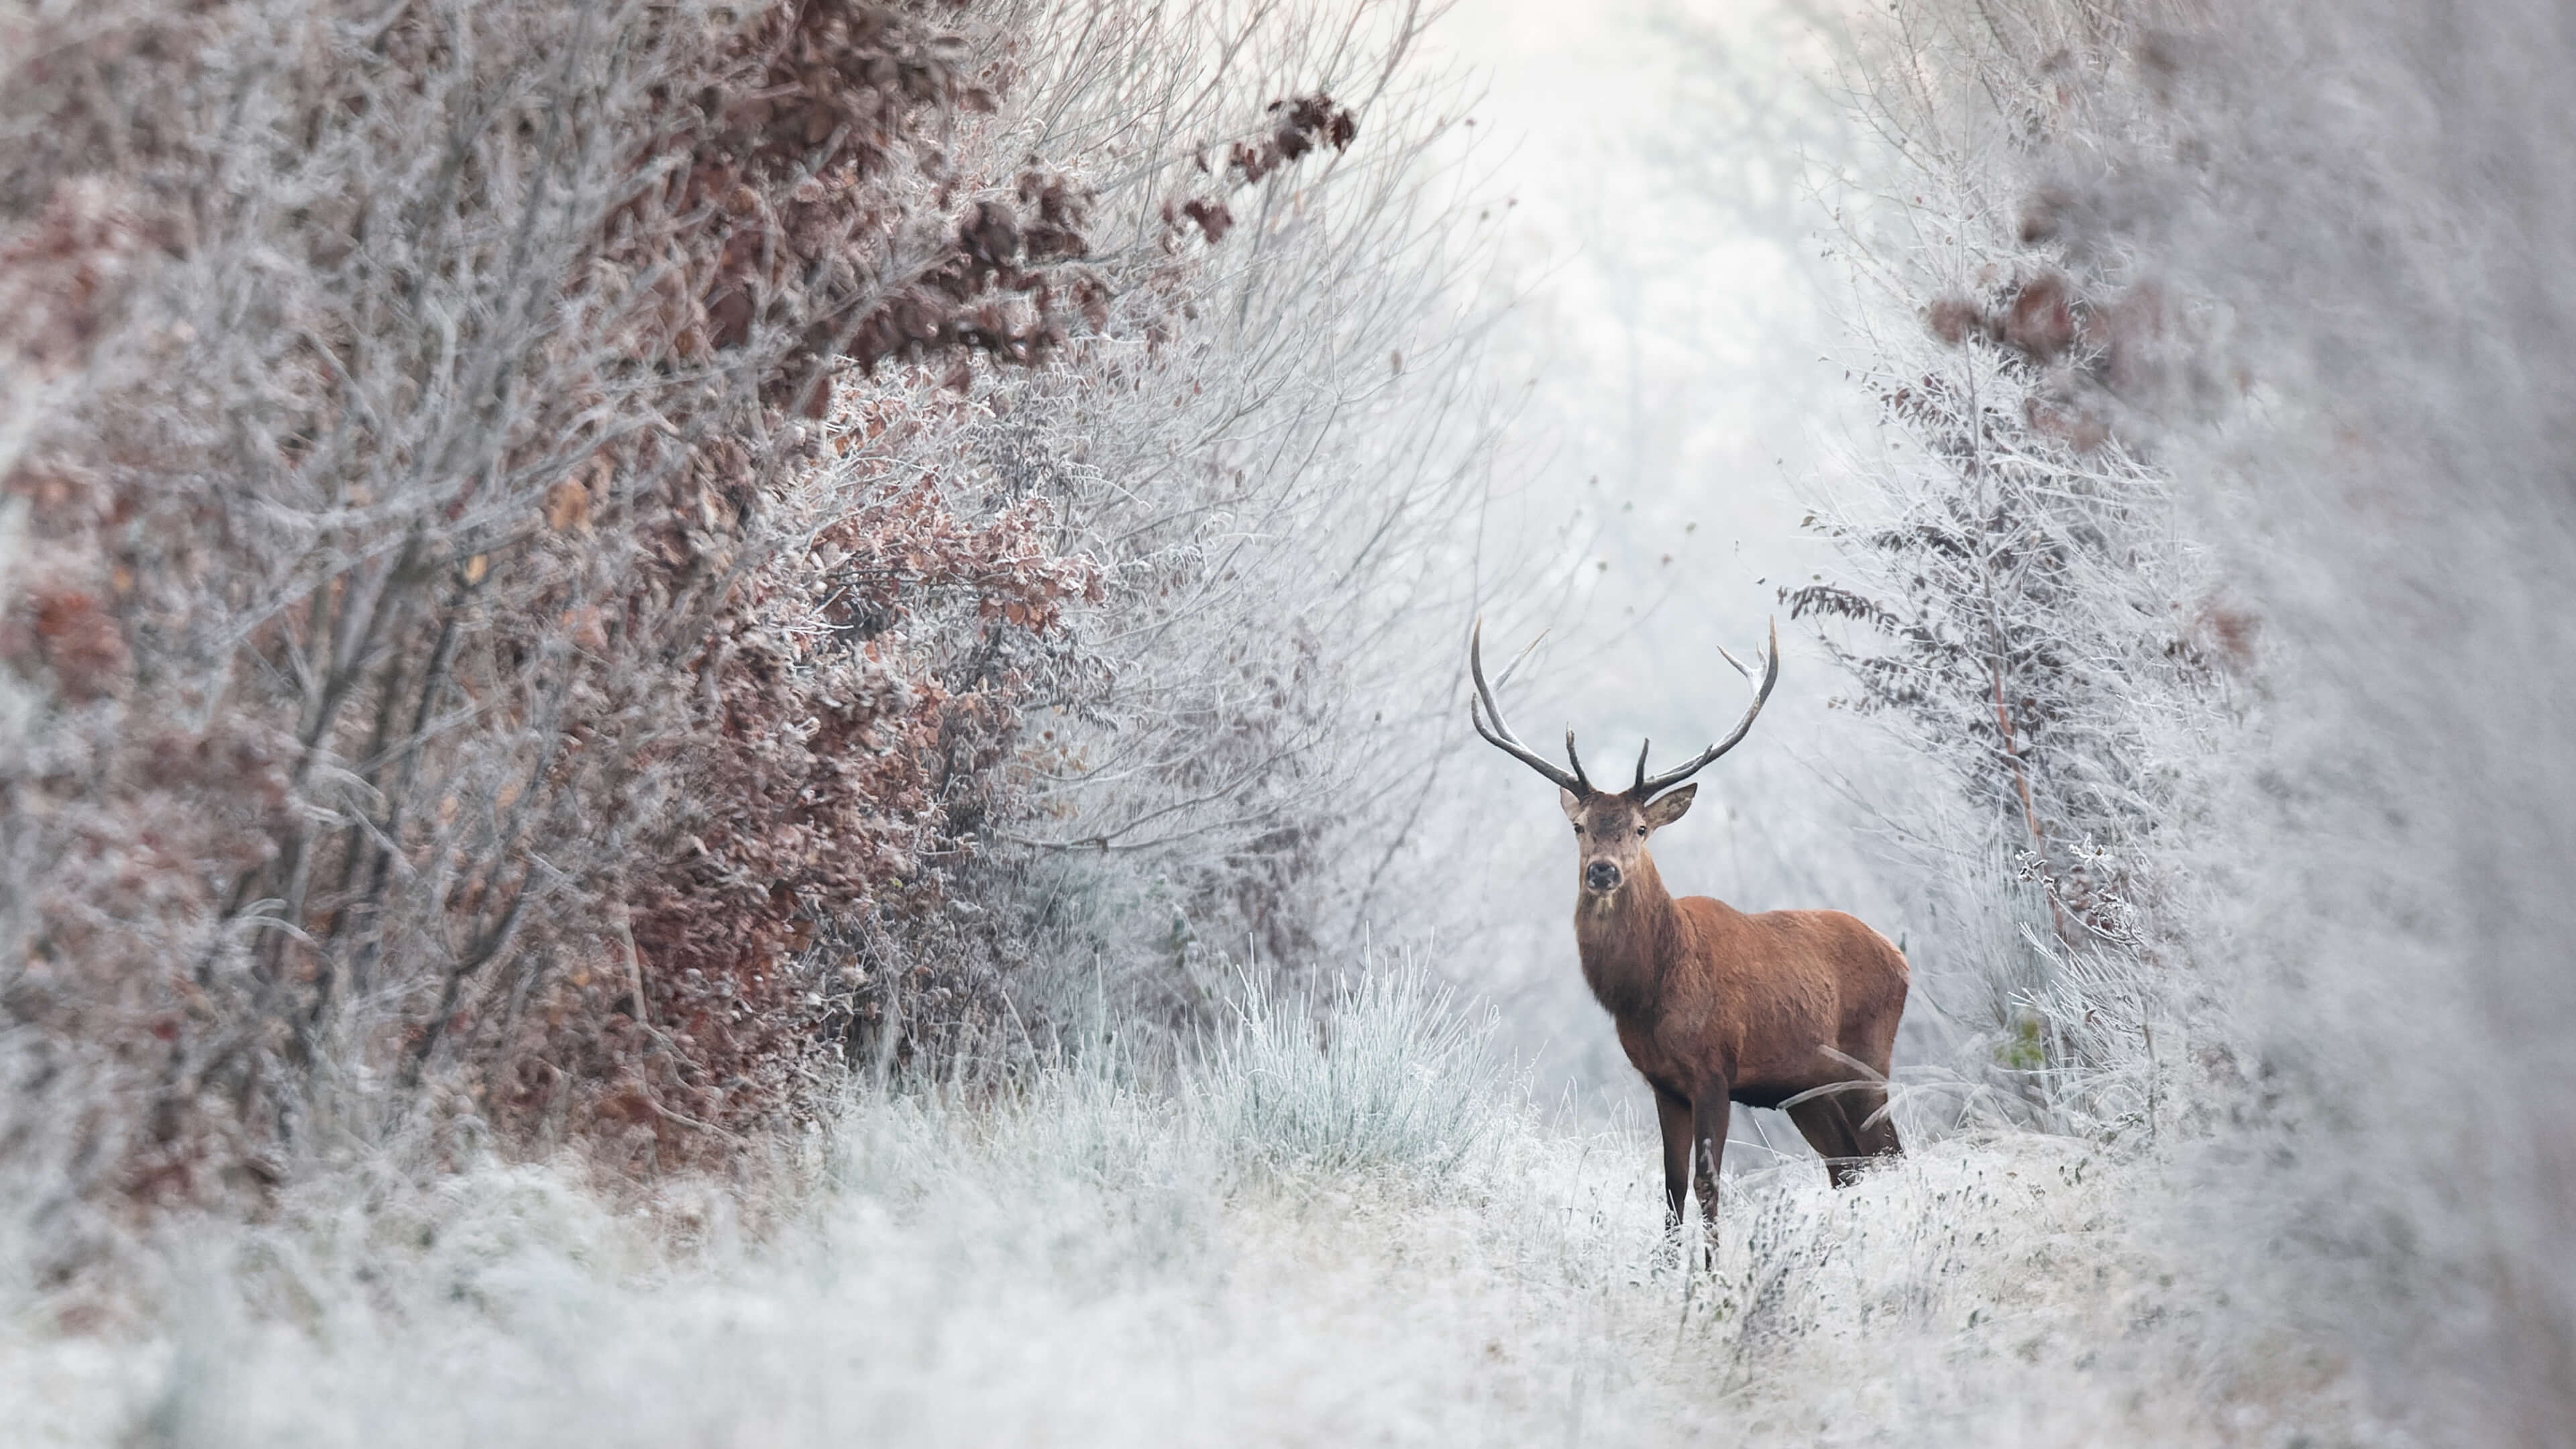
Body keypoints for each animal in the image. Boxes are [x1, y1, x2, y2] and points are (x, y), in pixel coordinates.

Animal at [1468, 617, 1909, 1245]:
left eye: (1640, 827)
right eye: (1580, 826)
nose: (1603, 870)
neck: (1650, 993)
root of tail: (1901, 958)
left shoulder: (1714, 1071)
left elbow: (1707, 1185)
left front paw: (1712, 1272)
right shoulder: (1662, 1082)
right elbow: (1673, 1189)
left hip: (1868, 1061)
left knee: (1890, 1156)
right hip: (1806, 1089)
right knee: (1848, 1167)